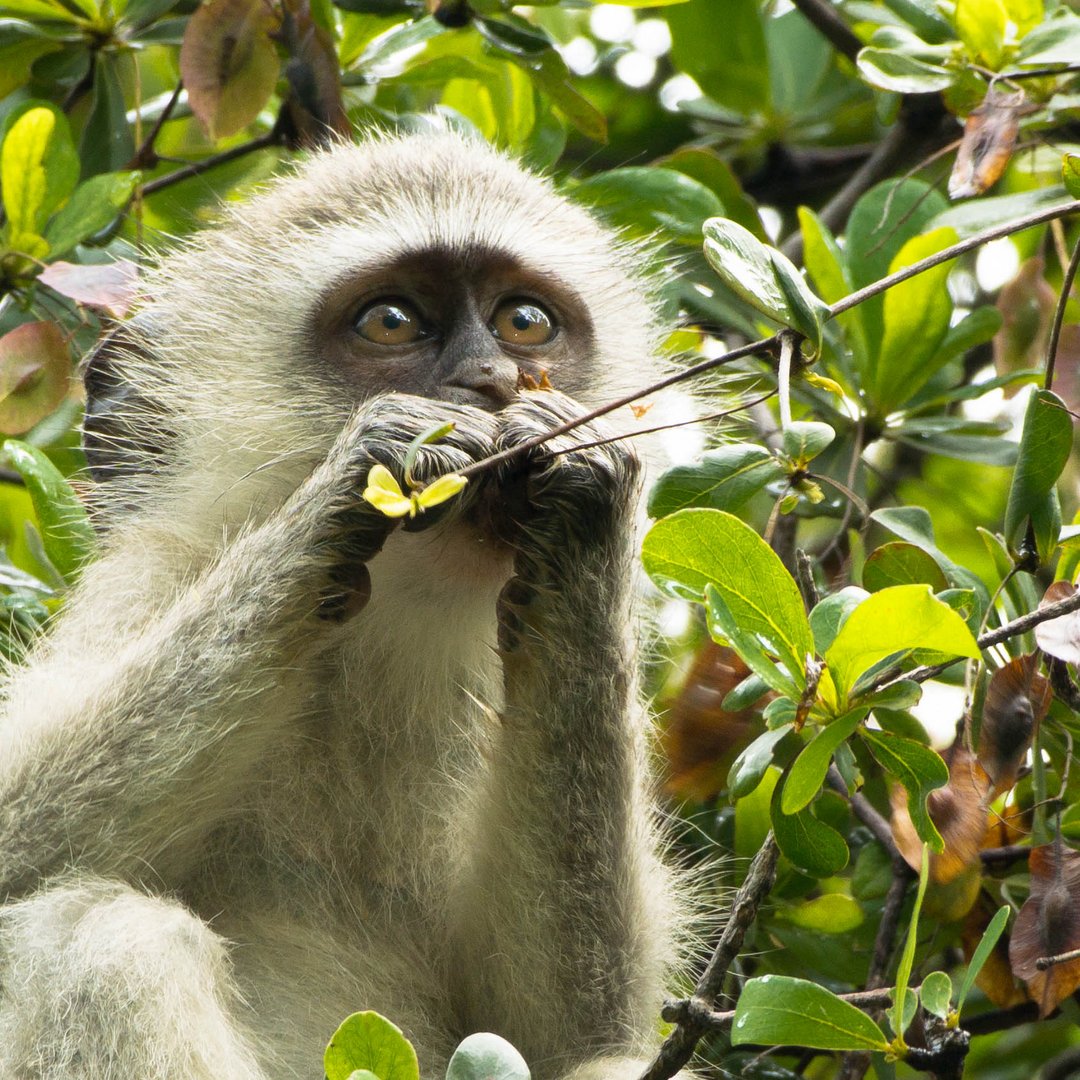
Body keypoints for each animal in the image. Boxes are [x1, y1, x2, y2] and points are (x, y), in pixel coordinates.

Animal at [0, 131, 686, 1080]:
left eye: (524, 322)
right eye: (391, 323)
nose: (492, 380)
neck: (375, 638)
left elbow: (577, 1031)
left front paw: (585, 495)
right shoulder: (149, 578)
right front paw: (360, 475)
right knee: (100, 938)